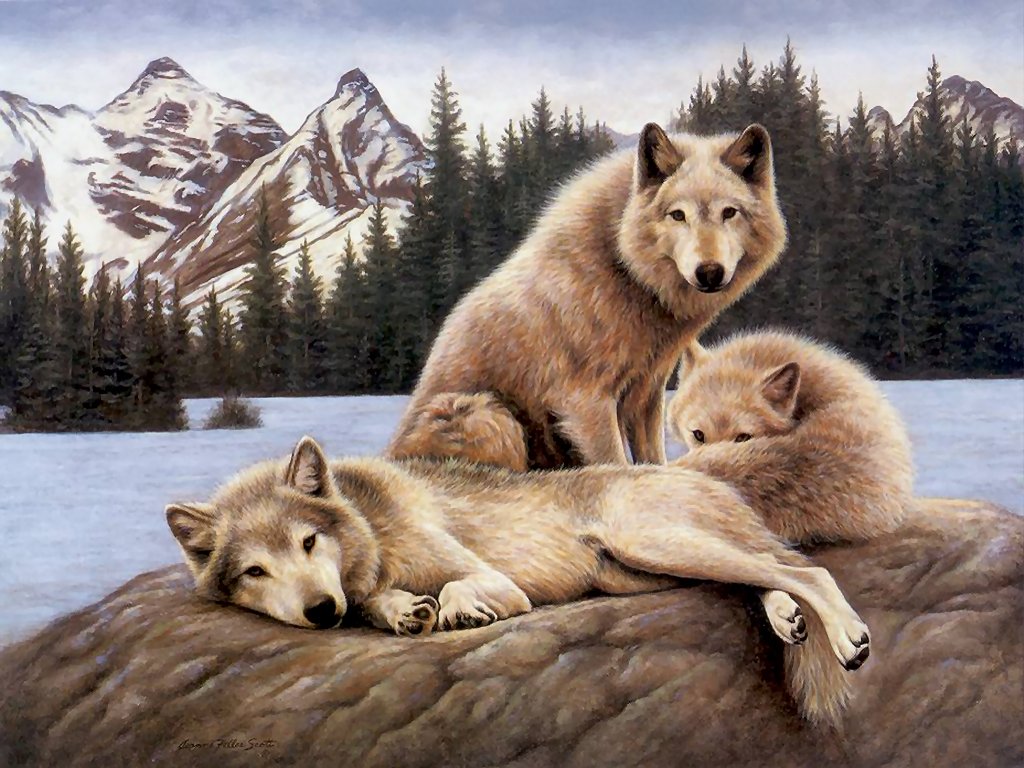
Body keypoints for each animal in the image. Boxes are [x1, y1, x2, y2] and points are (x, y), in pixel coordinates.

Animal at [168, 436, 871, 725]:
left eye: (309, 542)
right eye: (255, 571)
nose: (318, 611)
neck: (372, 523)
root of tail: (699, 473)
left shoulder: (499, 581)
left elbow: (458, 589)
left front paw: (458, 613)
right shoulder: (359, 593)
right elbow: (378, 605)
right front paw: (405, 613)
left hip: (658, 543)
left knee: (806, 568)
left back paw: (849, 639)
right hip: (652, 571)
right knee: (771, 575)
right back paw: (786, 617)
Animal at [387, 122, 787, 470]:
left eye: (729, 212)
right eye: (678, 215)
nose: (709, 272)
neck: (624, 271)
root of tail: (390, 452)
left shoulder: (646, 393)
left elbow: (652, 459)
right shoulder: (585, 401)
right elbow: (617, 465)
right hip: (489, 415)